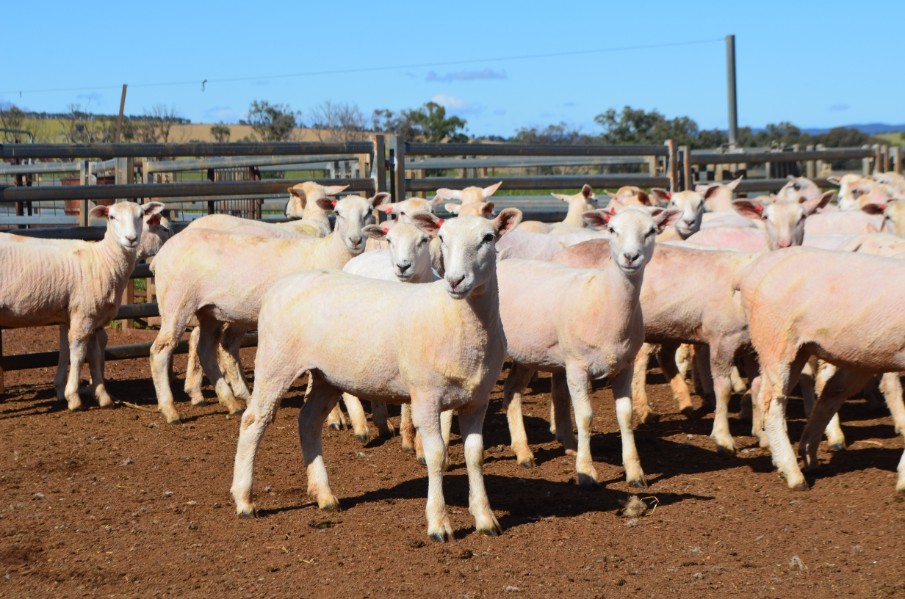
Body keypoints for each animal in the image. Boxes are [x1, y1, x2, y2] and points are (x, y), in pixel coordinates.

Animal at [0, 201, 164, 411]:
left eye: (141, 215)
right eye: (112, 217)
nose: (131, 239)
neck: (103, 260)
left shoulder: (94, 316)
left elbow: (94, 355)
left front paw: (102, 396)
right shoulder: (83, 313)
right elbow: (78, 354)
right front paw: (73, 398)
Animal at [149, 193, 388, 423]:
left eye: (369, 211)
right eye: (337, 212)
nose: (355, 240)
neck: (327, 253)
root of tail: (161, 254)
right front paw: (334, 417)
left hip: (210, 311)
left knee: (206, 349)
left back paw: (231, 403)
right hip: (176, 302)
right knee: (161, 350)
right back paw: (170, 410)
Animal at [230, 209, 522, 541]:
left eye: (488, 238)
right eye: (442, 237)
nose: (455, 280)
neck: (456, 318)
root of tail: (282, 285)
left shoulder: (478, 399)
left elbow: (475, 455)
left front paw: (486, 519)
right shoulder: (425, 396)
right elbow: (436, 455)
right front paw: (439, 524)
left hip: (326, 375)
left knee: (308, 422)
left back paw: (324, 496)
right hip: (276, 360)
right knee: (254, 420)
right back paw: (244, 500)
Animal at [496, 207, 680, 486]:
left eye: (651, 231)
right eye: (612, 229)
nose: (630, 257)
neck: (603, 297)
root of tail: (502, 263)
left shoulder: (624, 367)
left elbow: (625, 416)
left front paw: (635, 472)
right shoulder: (577, 368)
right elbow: (585, 417)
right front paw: (586, 472)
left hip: (528, 351)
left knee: (512, 390)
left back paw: (523, 452)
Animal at [736, 246, 905, 493]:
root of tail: (751, 270)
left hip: (830, 352)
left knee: (830, 392)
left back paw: (808, 454)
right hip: (775, 341)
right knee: (772, 401)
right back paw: (793, 474)